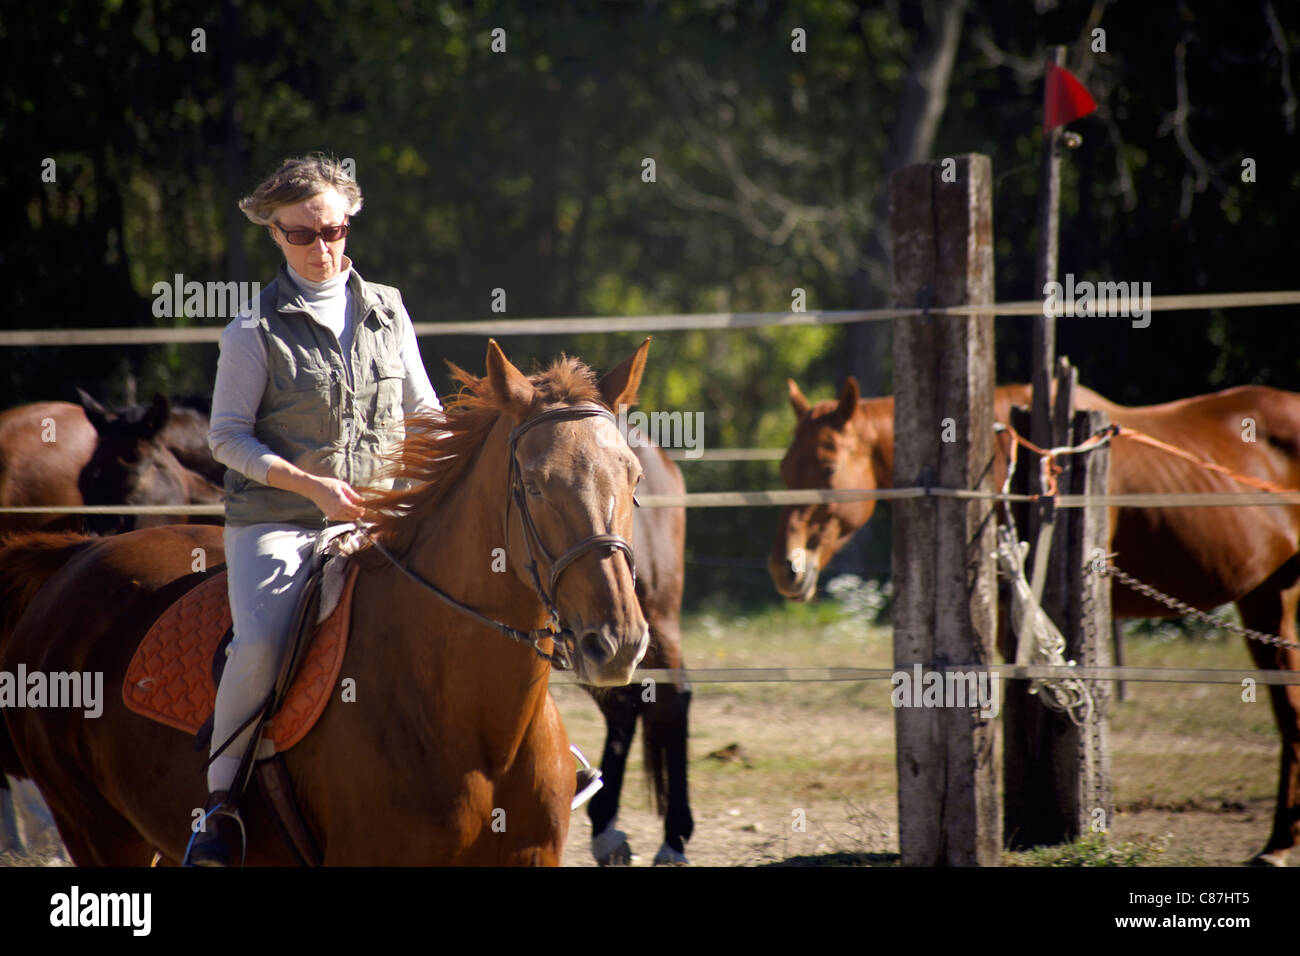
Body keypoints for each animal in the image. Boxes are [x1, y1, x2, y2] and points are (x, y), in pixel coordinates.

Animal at [0, 339, 651, 865]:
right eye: (535, 485)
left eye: (634, 477)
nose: (617, 642)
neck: (483, 731)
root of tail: (75, 559)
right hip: (99, 833)